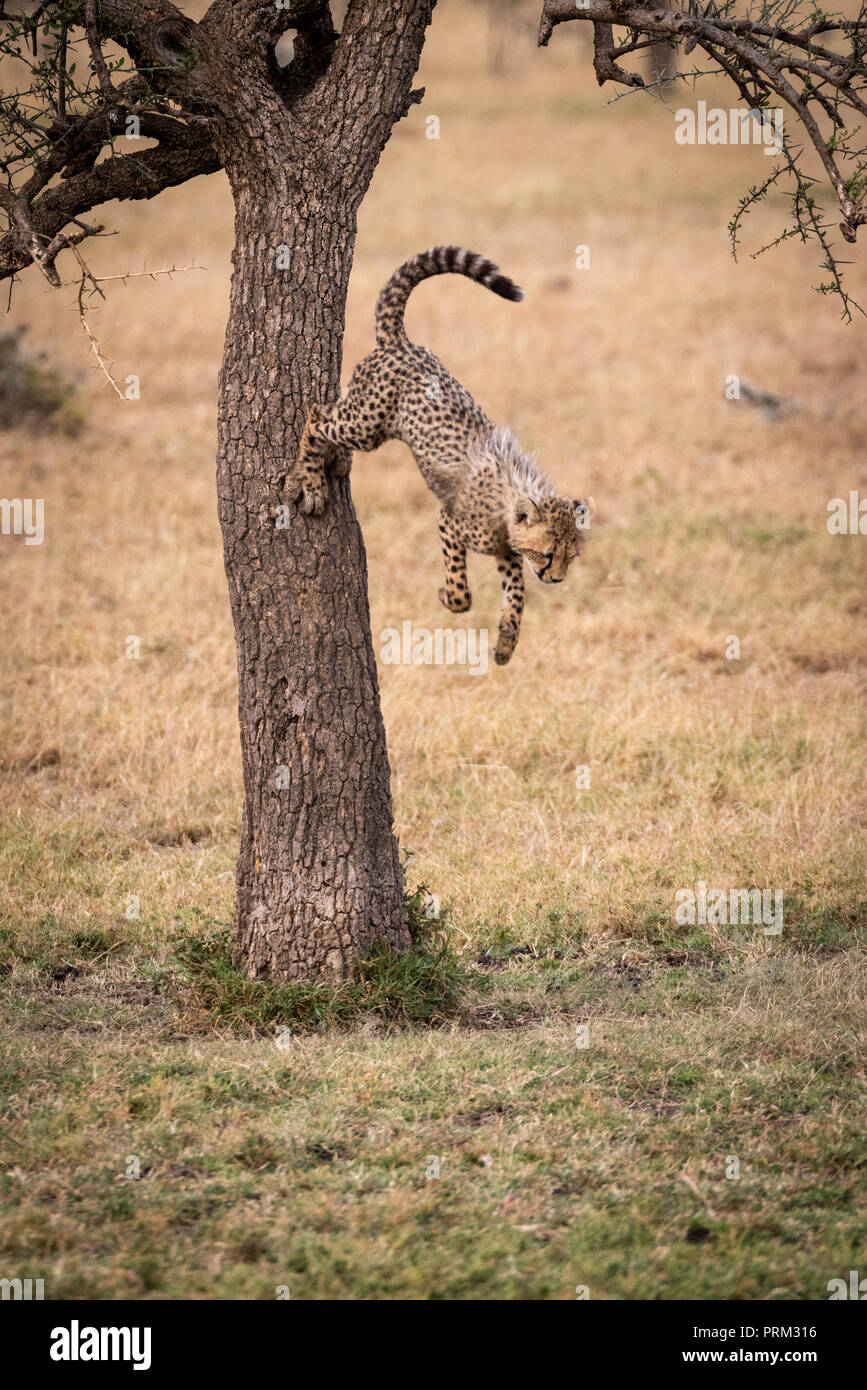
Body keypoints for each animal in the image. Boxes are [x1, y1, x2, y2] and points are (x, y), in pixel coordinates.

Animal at [287, 245, 593, 665]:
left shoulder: (507, 553)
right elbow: (463, 590)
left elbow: (516, 595)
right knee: (317, 416)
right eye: (548, 554)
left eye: (571, 556)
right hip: (366, 425)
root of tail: (401, 343)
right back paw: (311, 483)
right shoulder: (450, 521)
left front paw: (505, 644)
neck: (510, 498)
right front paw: (449, 596)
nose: (556, 578)